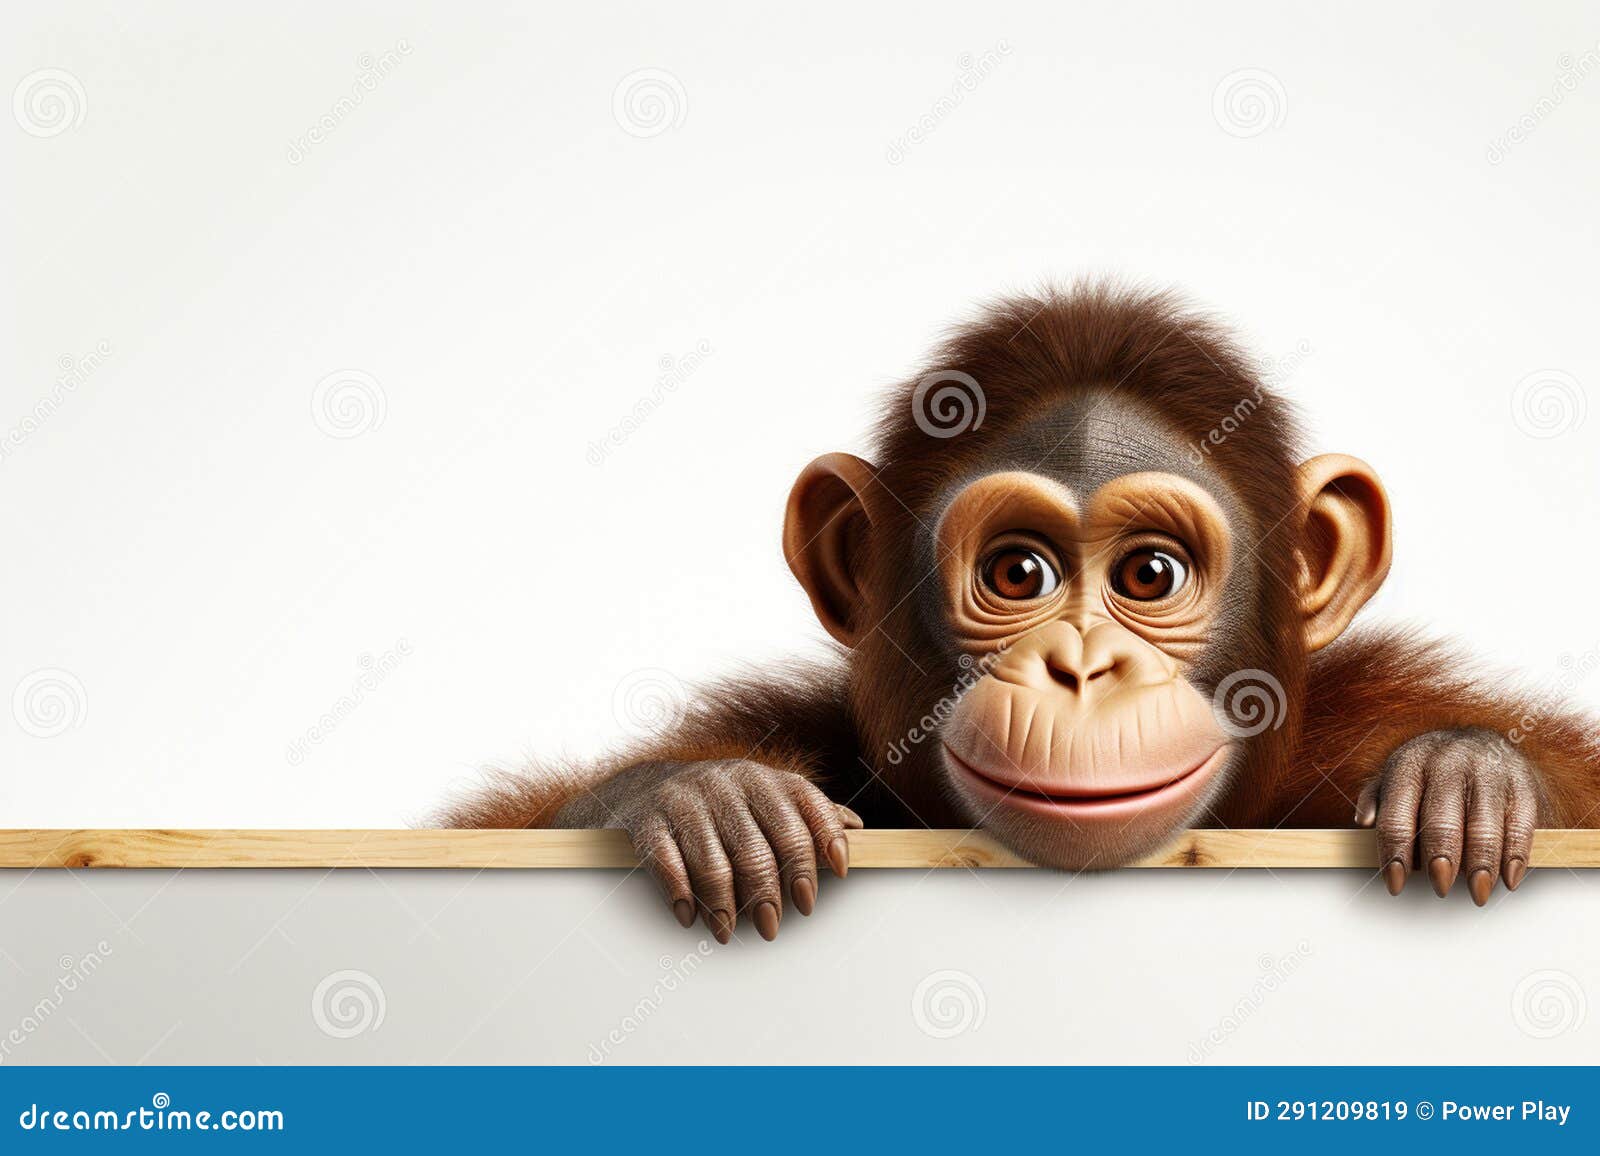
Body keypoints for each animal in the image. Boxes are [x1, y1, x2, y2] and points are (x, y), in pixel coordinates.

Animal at [437, 283, 1600, 942]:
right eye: (1018, 574)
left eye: (1149, 575)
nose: (1080, 665)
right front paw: (699, 799)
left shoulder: (1361, 715)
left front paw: (1470, 775)